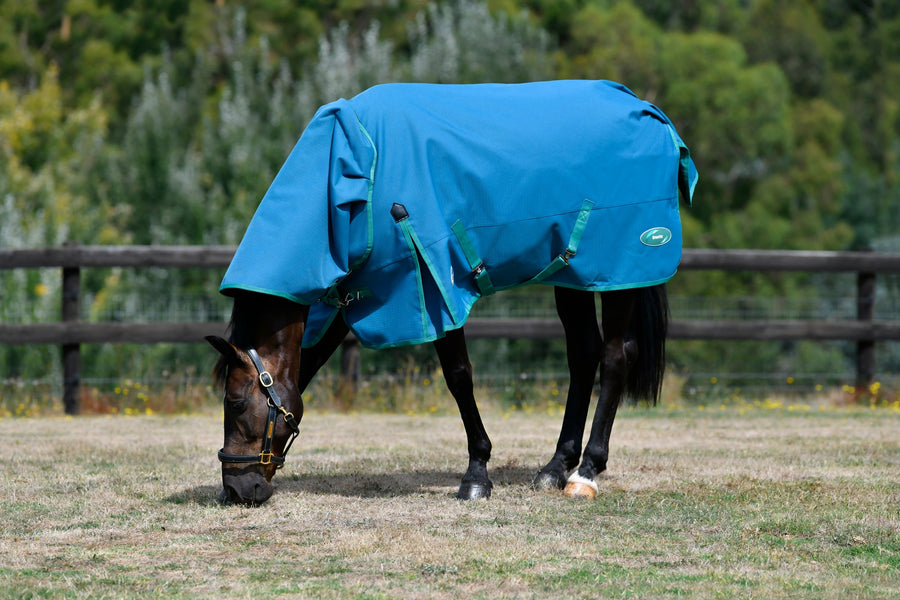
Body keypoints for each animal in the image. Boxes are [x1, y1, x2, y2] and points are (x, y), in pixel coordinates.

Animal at [208, 80, 697, 505]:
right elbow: (309, 362)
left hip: (620, 274)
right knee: (584, 354)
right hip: (574, 276)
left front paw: (476, 475)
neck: (357, 172)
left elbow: (459, 376)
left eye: (235, 402)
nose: (237, 489)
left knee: (615, 357)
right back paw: (556, 467)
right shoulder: (358, 293)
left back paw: (586, 474)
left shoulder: (428, 285)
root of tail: (648, 110)